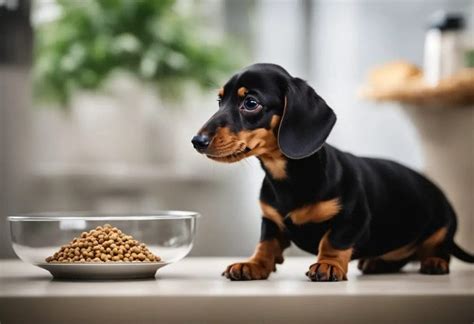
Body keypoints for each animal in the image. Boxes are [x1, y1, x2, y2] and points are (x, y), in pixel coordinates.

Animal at [191, 63, 472, 280]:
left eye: (250, 103)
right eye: (220, 101)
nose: (197, 141)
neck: (286, 178)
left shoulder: (353, 217)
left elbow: (332, 241)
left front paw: (327, 264)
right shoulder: (270, 221)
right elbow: (265, 244)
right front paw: (253, 264)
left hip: (442, 228)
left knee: (437, 248)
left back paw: (435, 262)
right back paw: (377, 262)